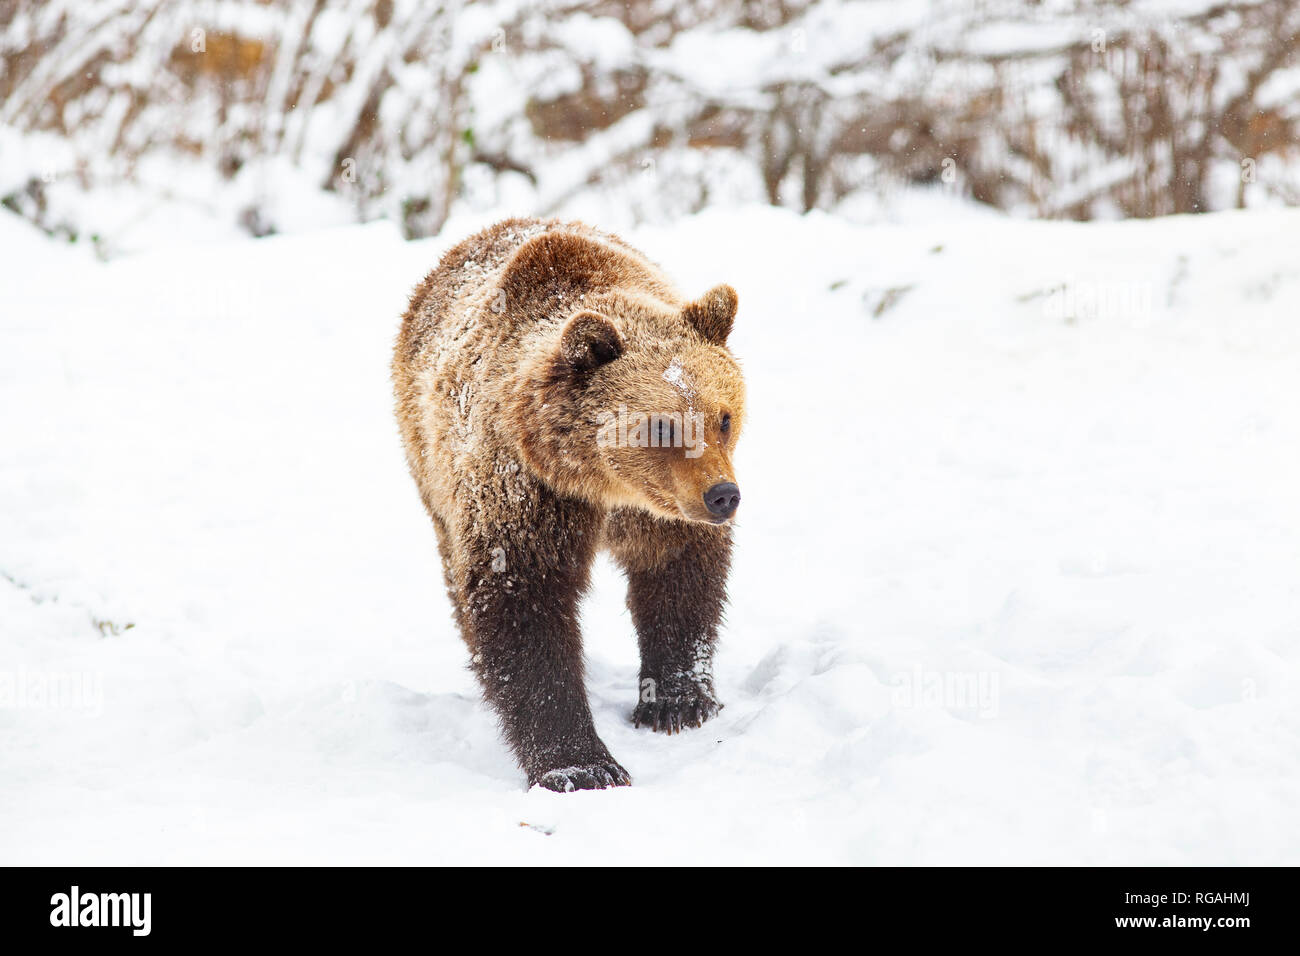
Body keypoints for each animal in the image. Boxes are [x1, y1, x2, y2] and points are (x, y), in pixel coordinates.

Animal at [392, 217, 745, 792]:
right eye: (662, 425)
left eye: (724, 417)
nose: (723, 496)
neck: (602, 485)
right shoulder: (528, 495)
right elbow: (524, 605)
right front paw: (582, 764)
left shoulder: (659, 513)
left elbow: (680, 578)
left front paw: (678, 700)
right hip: (430, 469)